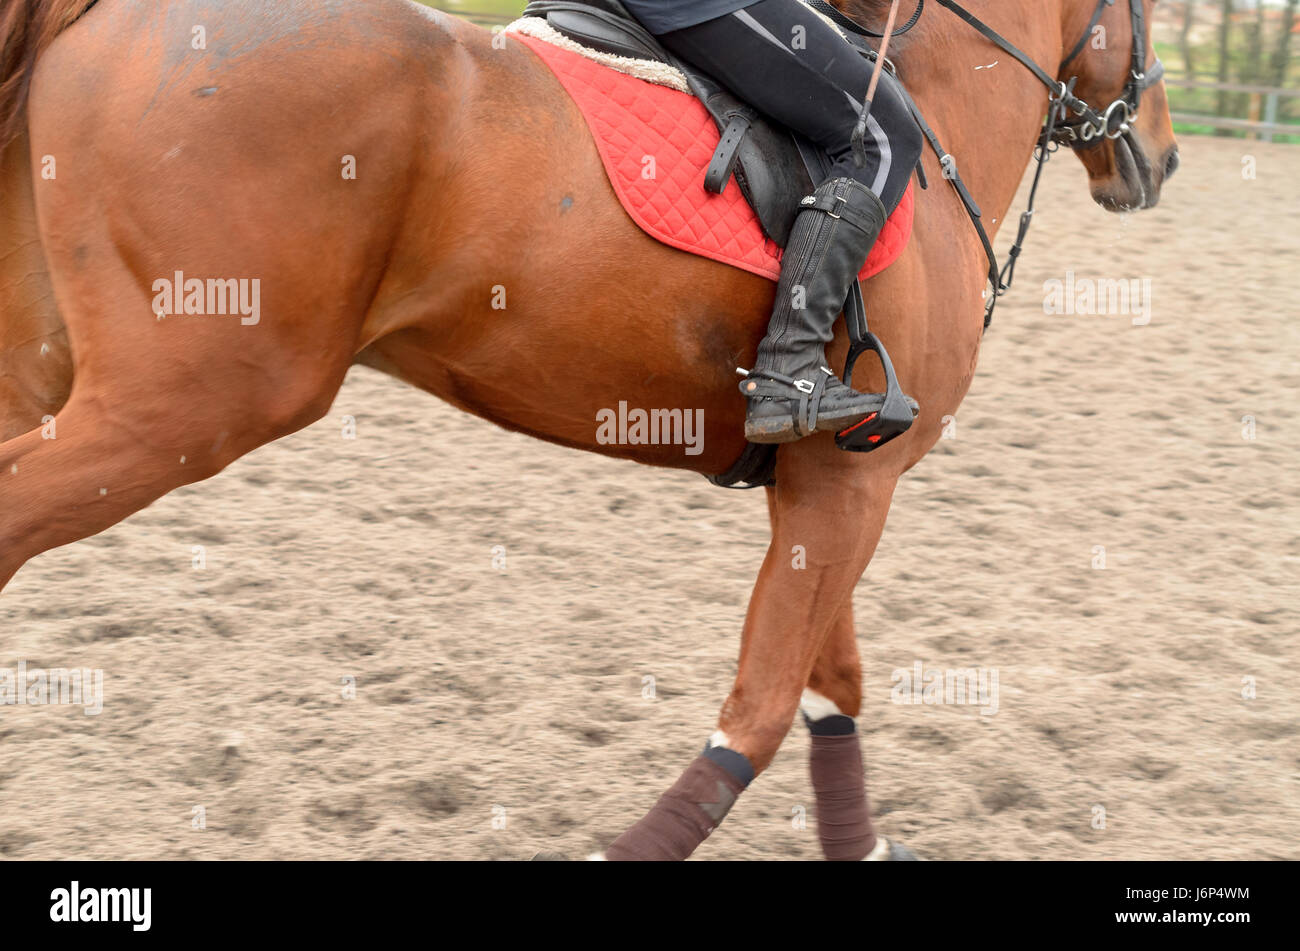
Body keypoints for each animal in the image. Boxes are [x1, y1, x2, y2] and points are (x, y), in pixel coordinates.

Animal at [0, 0, 1178, 859]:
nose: (1159, 158)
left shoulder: (830, 483)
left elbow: (826, 684)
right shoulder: (851, 487)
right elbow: (759, 708)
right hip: (187, 406)